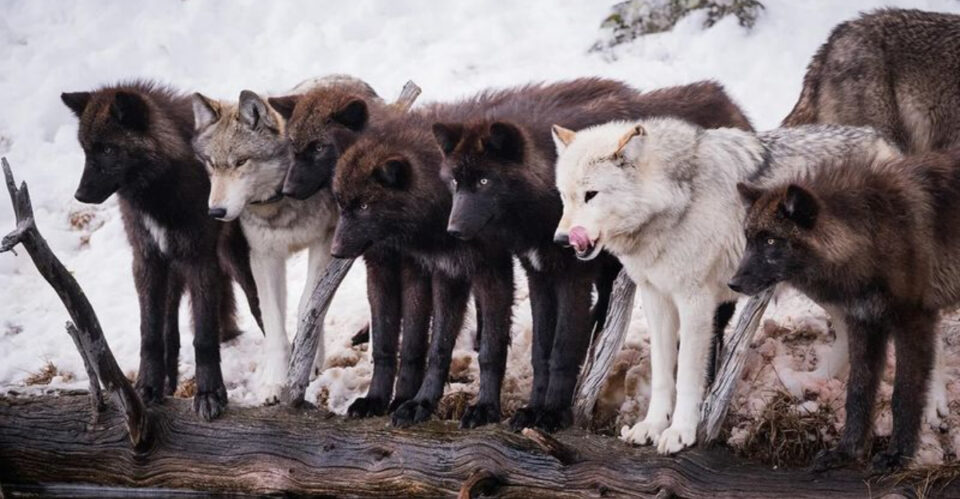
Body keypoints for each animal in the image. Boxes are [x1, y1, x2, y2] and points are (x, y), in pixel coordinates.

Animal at [61, 81, 261, 420]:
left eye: (108, 150)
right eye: (86, 150)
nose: (80, 195)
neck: (159, 193)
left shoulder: (200, 261)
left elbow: (204, 337)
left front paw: (209, 394)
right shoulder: (147, 260)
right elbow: (150, 334)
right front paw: (147, 388)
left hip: (238, 266)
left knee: (262, 311)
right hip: (172, 273)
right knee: (170, 330)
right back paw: (167, 383)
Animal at [190, 77, 375, 404]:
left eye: (241, 162)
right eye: (212, 164)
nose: (216, 211)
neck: (281, 201)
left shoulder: (325, 243)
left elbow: (308, 307)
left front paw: (306, 361)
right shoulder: (264, 257)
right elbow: (274, 322)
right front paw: (274, 382)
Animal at [430, 80, 752, 431]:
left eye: (484, 180)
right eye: (456, 182)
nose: (453, 229)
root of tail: (731, 104)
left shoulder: (573, 279)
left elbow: (562, 350)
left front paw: (552, 413)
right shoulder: (539, 275)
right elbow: (541, 352)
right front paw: (533, 409)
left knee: (713, 333)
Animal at [553, 117, 899, 453]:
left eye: (591, 194)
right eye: (565, 196)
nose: (561, 240)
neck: (676, 203)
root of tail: (883, 140)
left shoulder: (695, 302)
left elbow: (687, 375)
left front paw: (681, 433)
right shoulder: (656, 298)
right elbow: (663, 373)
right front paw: (651, 426)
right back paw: (811, 381)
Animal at [730, 149, 960, 472]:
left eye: (771, 241)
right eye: (749, 239)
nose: (733, 284)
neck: (873, 233)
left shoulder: (914, 323)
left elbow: (903, 394)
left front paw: (898, 456)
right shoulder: (864, 323)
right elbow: (858, 391)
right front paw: (847, 451)